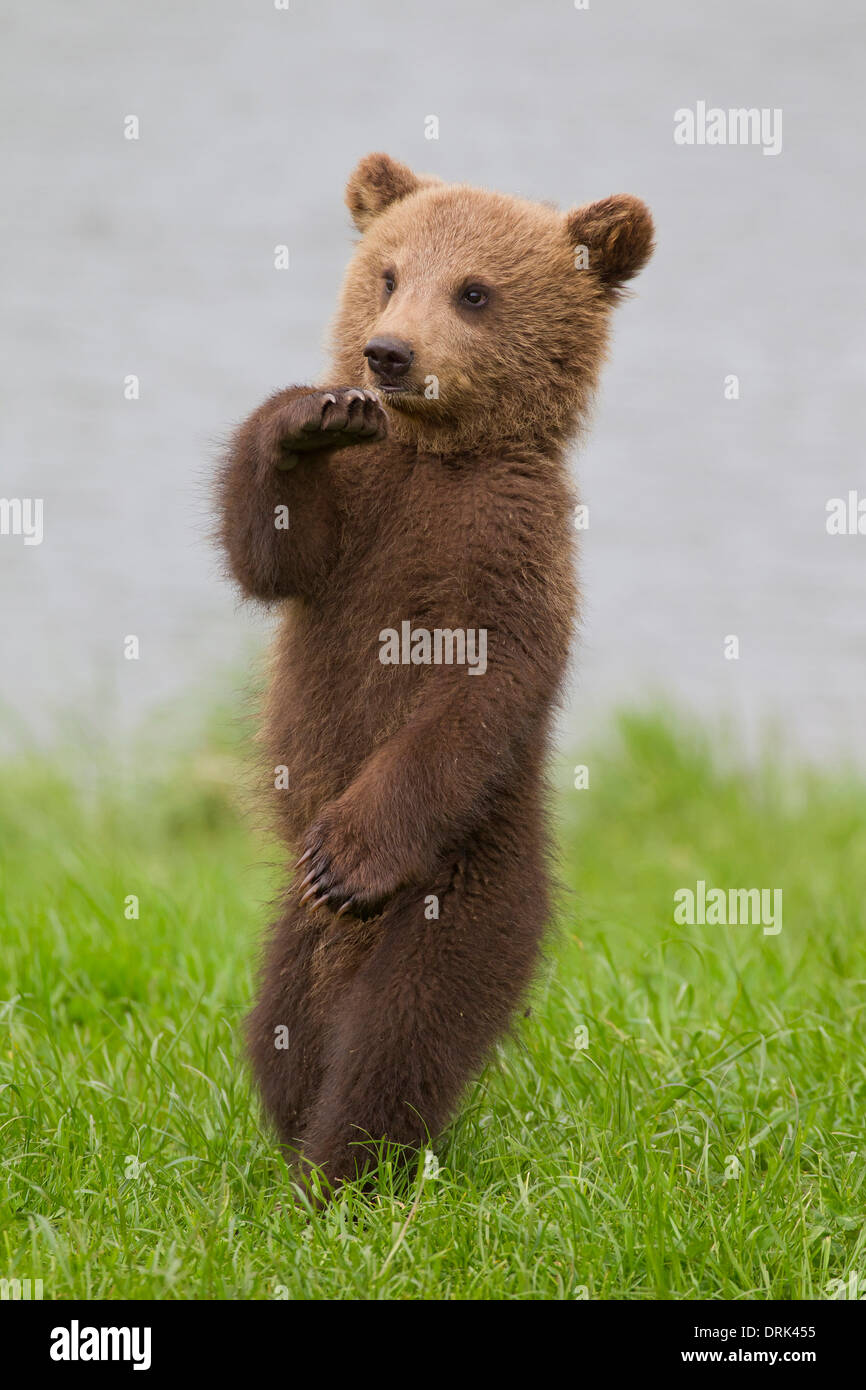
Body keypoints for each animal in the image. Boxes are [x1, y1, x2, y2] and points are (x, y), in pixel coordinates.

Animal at [217, 153, 653, 1197]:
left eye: (475, 291)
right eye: (387, 273)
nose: (387, 355)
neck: (436, 452)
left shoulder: (508, 551)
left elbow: (471, 698)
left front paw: (347, 857)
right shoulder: (360, 521)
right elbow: (273, 556)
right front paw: (308, 415)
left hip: (468, 887)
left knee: (401, 1033)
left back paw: (344, 1171)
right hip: (292, 939)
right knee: (284, 1030)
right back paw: (296, 1137)